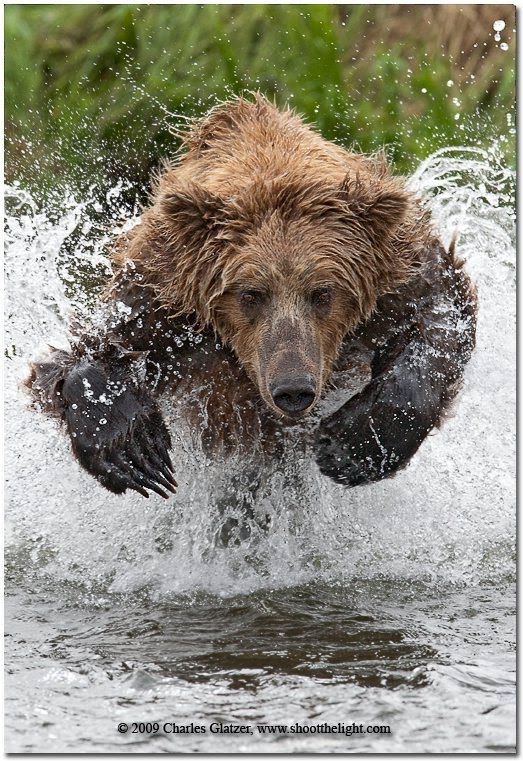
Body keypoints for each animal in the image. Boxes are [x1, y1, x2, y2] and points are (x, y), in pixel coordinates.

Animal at [26, 93, 477, 501]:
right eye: (250, 294)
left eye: (322, 292)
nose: (293, 388)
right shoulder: (162, 301)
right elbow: (83, 354)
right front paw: (133, 448)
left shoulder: (397, 279)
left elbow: (441, 317)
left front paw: (355, 444)